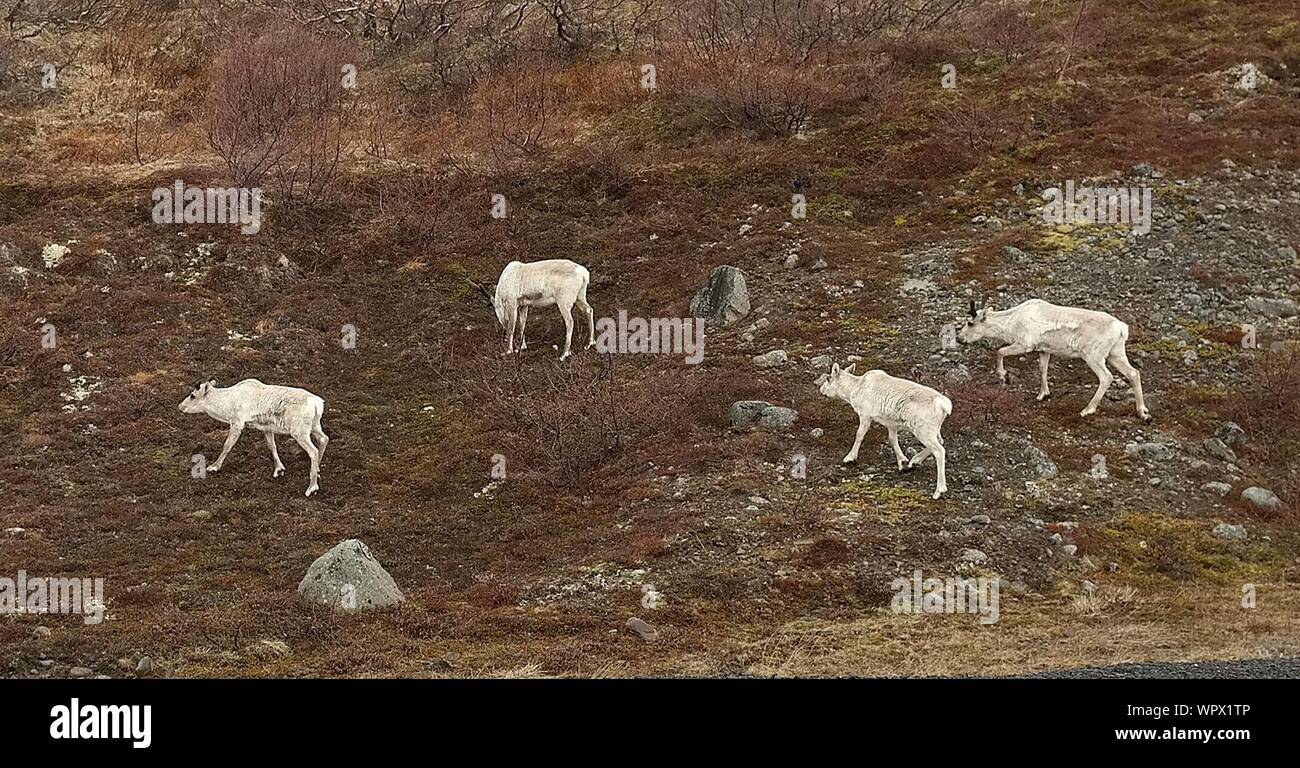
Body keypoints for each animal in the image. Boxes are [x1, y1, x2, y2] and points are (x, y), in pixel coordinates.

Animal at [178, 379, 329, 497]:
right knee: (324, 439)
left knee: (313, 451)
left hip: (299, 431)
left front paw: (214, 467)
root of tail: (317, 403)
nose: (180, 407)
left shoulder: (237, 423)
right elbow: (272, 446)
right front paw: (279, 469)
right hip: (315, 425)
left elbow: (227, 445)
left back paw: (312, 487)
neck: (227, 403)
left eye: (192, 395)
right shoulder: (266, 428)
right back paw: (318, 470)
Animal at [818, 364, 953, 500]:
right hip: (932, 430)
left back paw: (939, 491)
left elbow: (859, 435)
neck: (854, 390)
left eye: (828, 378)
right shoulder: (891, 424)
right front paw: (902, 462)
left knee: (939, 451)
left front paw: (850, 457)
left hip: (923, 430)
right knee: (940, 441)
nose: (821, 389)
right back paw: (914, 461)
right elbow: (892, 441)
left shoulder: (865, 415)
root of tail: (943, 405)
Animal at [956, 298, 1151, 421]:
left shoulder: (1026, 344)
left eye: (970, 323)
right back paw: (1143, 412)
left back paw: (1087, 410)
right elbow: (1043, 369)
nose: (959, 338)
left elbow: (1000, 351)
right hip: (1115, 353)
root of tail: (1122, 328)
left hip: (1093, 355)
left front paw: (1004, 375)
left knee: (1107, 377)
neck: (1011, 322)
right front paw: (1043, 394)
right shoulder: (1043, 349)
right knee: (1134, 373)